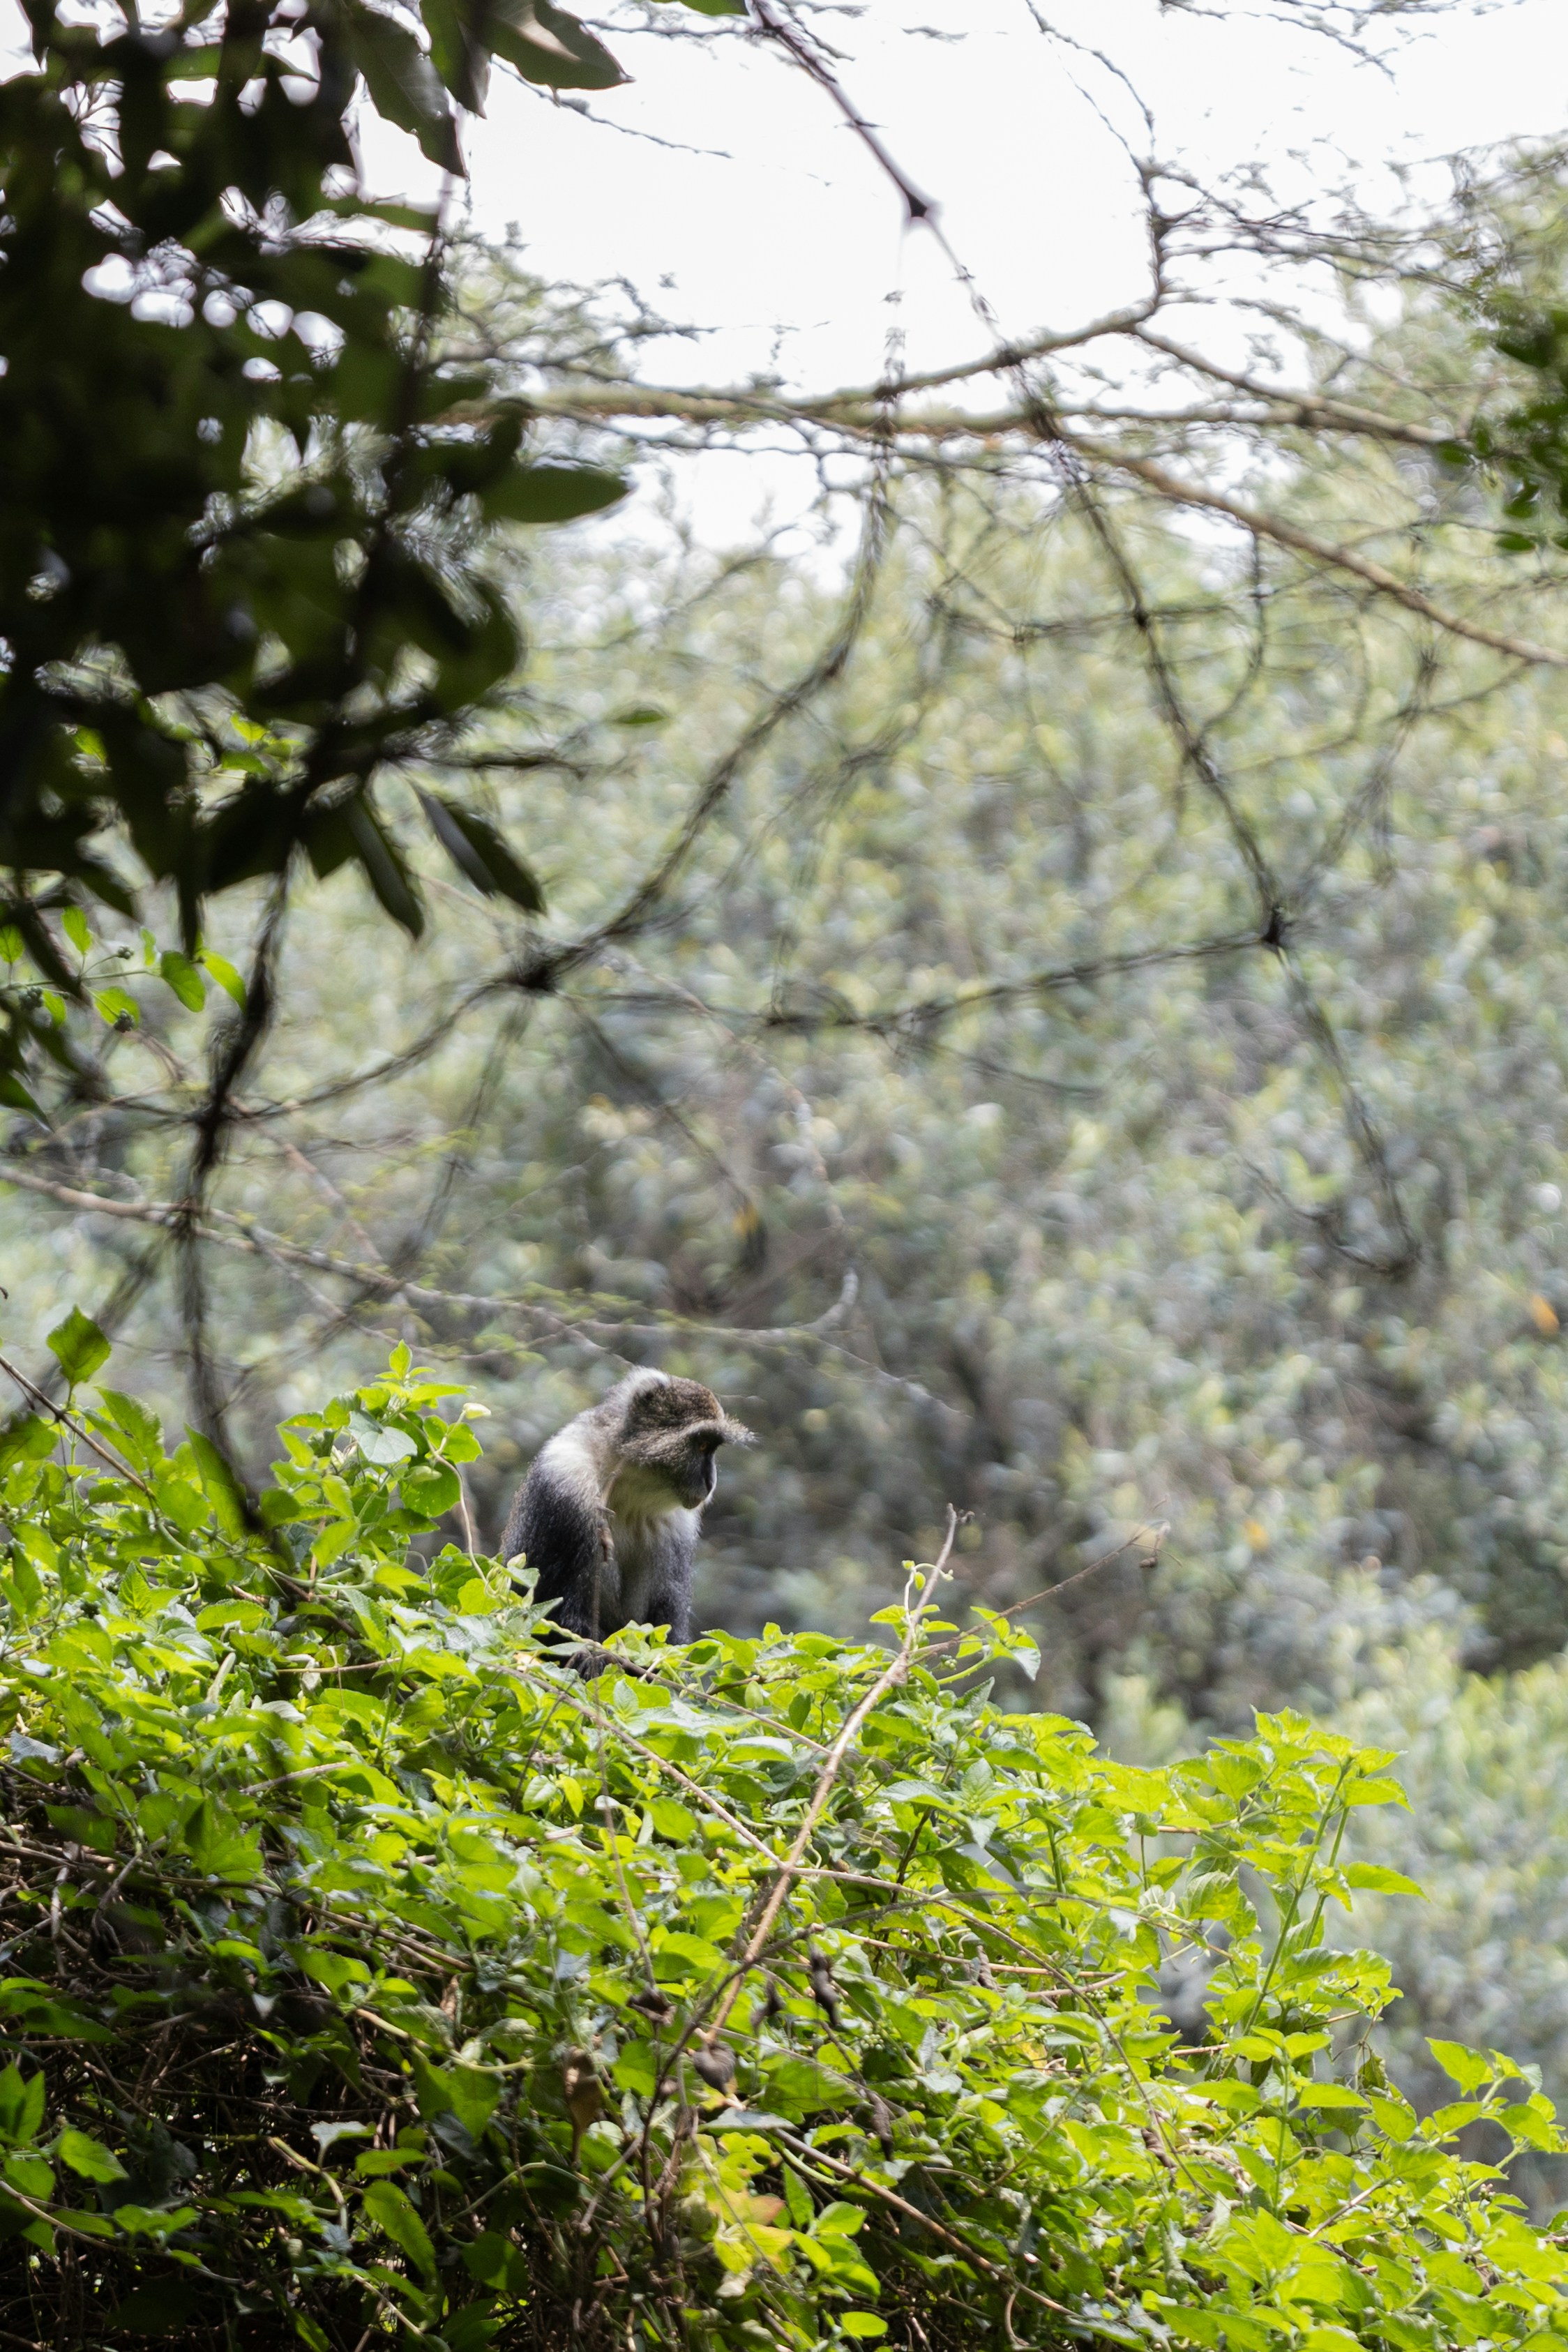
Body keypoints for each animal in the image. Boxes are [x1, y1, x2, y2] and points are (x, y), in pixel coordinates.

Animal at [501, 1370, 754, 1649]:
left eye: (712, 1447)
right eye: (702, 1445)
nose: (710, 1482)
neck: (628, 1490)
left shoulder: (678, 1526)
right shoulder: (566, 1486)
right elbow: (556, 1617)